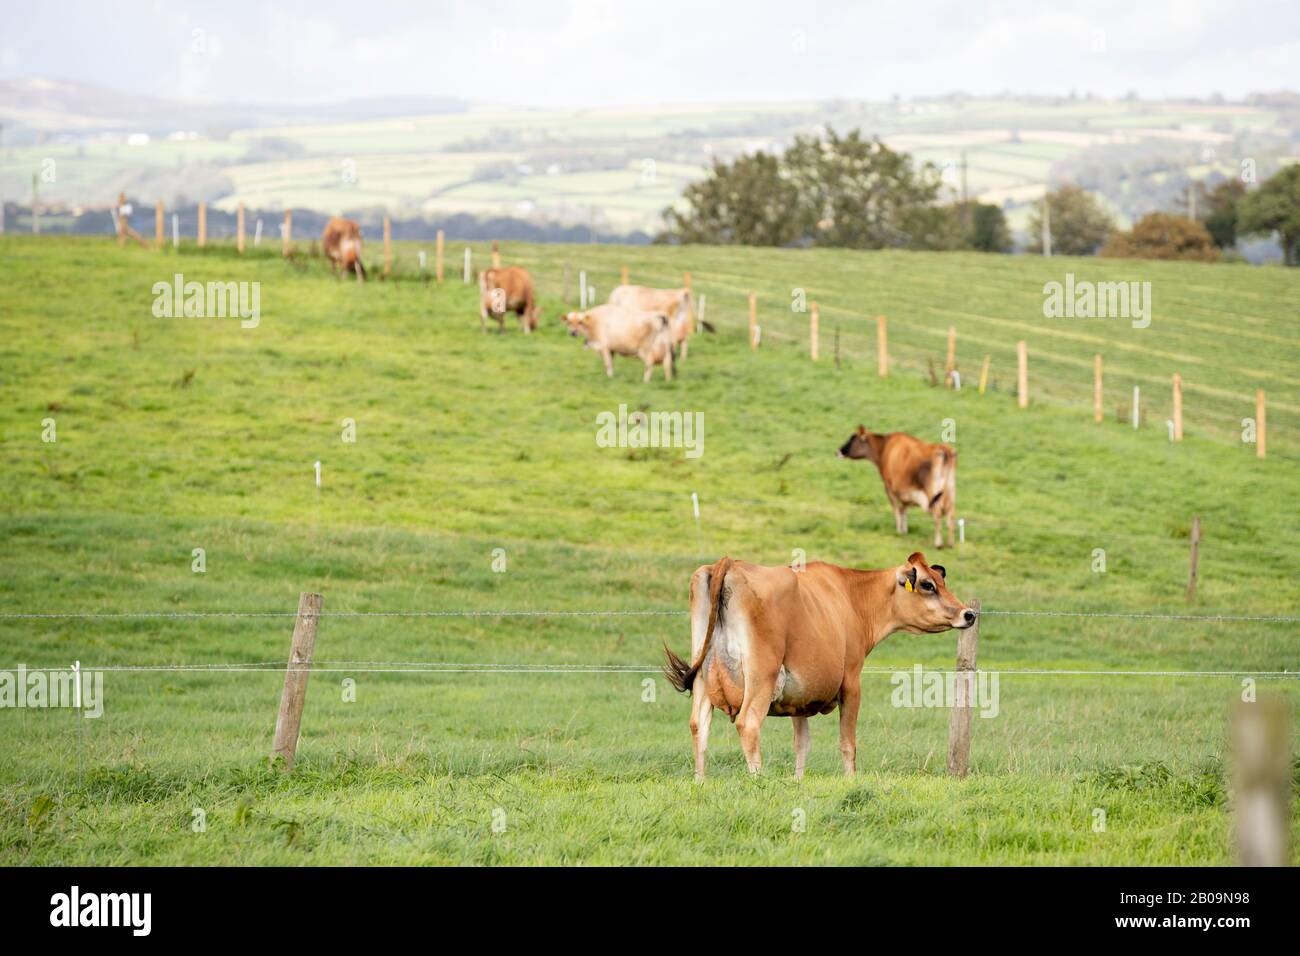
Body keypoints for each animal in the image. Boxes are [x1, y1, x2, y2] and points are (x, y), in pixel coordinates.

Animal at [664, 552, 975, 781]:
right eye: (927, 584)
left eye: (940, 581)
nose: (969, 613)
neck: (851, 597)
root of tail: (729, 563)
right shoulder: (851, 683)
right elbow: (848, 742)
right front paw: (850, 781)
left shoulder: (798, 696)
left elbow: (802, 743)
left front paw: (797, 781)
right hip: (761, 676)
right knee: (748, 723)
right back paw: (758, 780)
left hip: (703, 678)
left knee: (699, 725)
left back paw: (700, 781)